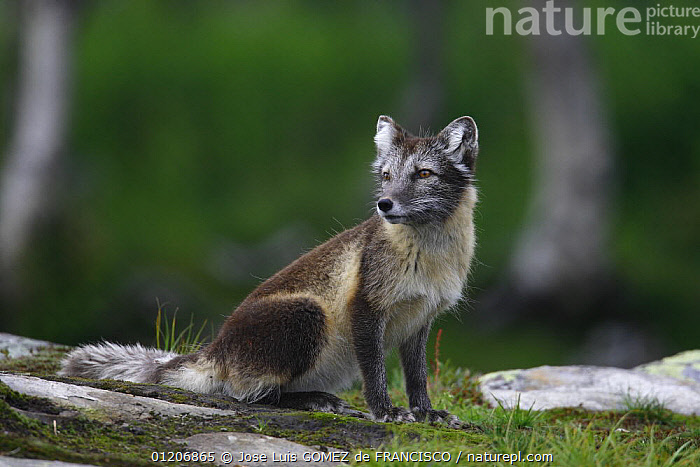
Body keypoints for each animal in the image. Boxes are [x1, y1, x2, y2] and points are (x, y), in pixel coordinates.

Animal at [60, 115, 479, 426]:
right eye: (387, 176)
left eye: (424, 174)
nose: (384, 204)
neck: (430, 258)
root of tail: (216, 349)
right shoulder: (366, 307)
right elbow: (376, 373)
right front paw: (386, 412)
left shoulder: (419, 320)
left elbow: (417, 377)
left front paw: (427, 414)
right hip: (308, 315)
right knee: (248, 394)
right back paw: (317, 400)